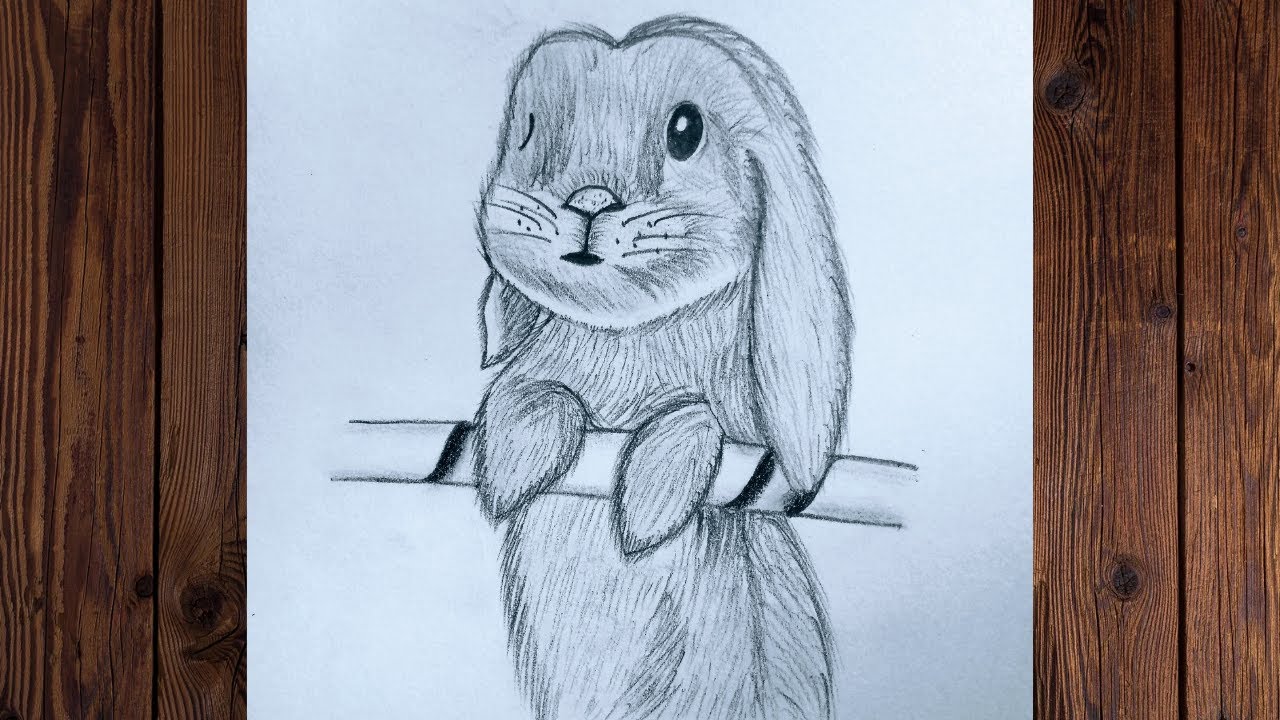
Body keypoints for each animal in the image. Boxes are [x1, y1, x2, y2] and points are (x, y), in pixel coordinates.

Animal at [471, 15, 853, 720]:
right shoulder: (544, 367)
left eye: (685, 131)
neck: (631, 331)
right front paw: (513, 461)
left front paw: (649, 501)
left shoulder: (739, 421)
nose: (589, 202)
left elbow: (698, 417)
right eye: (532, 127)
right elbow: (534, 388)